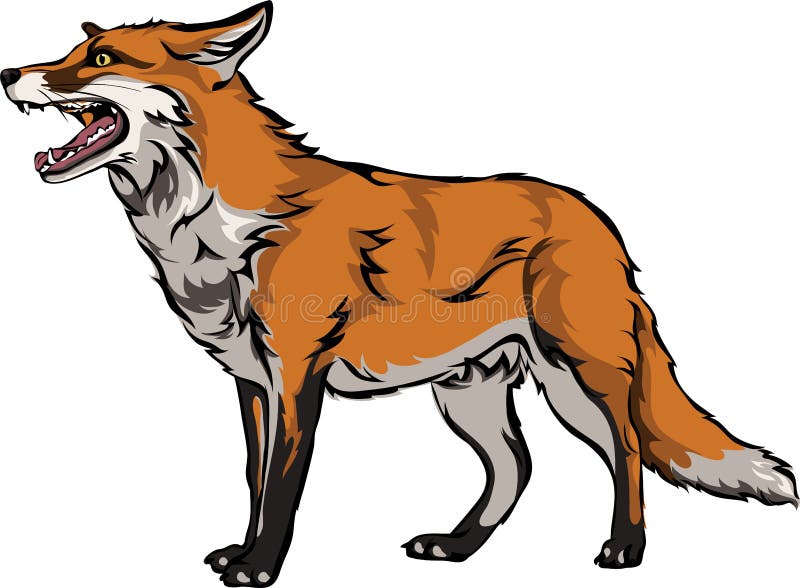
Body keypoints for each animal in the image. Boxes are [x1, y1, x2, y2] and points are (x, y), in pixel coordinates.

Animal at [2, 2, 797, 586]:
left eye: (101, 62)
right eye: (73, 51)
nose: (9, 71)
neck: (215, 228)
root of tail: (597, 217)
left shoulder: (298, 374)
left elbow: (281, 487)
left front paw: (260, 569)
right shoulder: (250, 381)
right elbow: (252, 481)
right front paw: (243, 551)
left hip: (580, 375)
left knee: (626, 449)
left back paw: (625, 550)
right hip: (469, 393)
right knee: (518, 467)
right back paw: (458, 547)